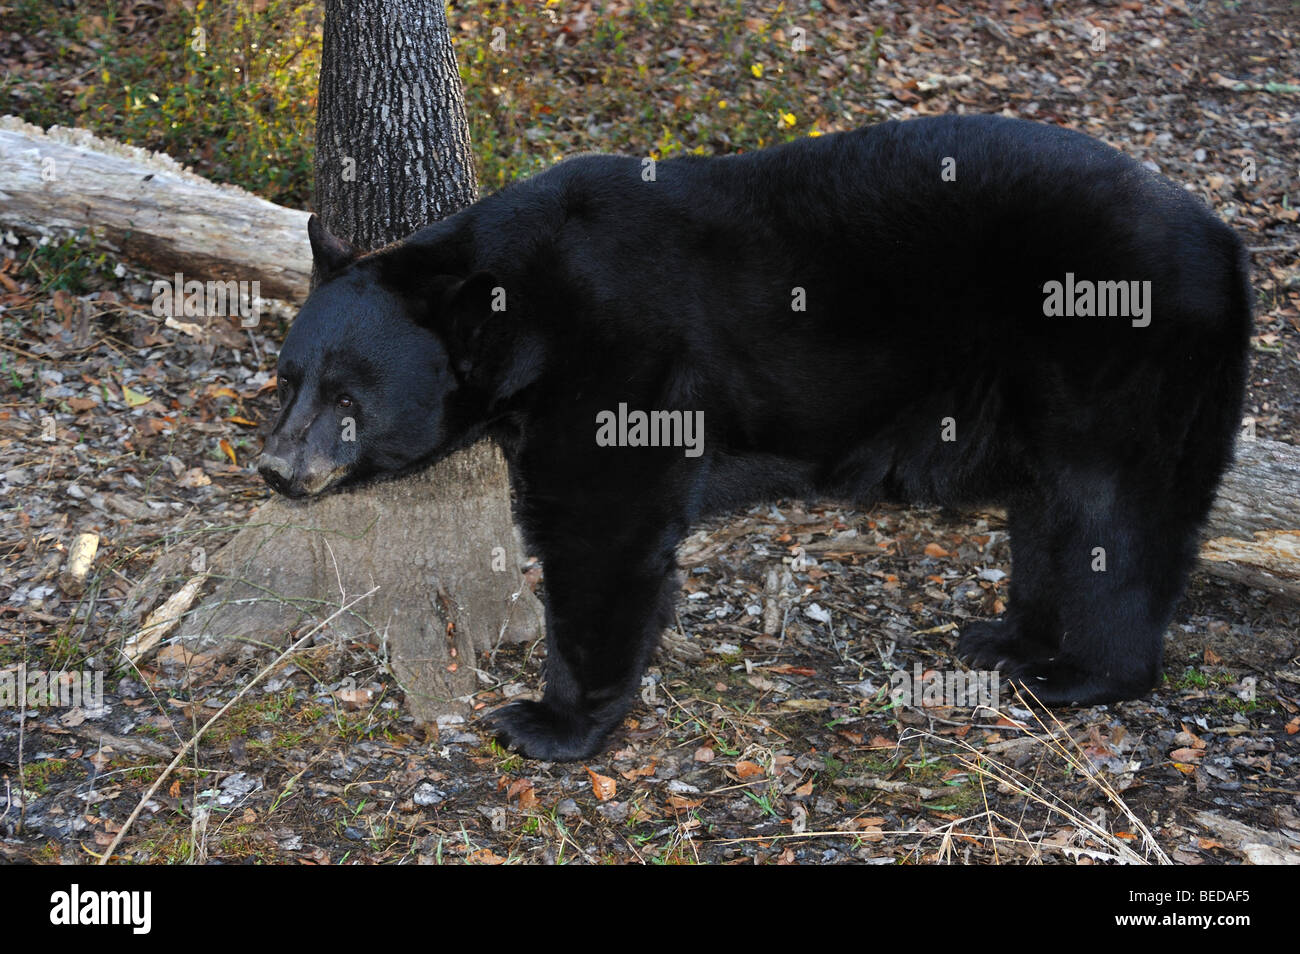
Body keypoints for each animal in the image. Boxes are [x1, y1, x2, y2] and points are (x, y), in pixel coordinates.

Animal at [259, 115, 1252, 761]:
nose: (276, 468)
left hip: (1114, 358)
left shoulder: (624, 364)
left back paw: (1080, 674)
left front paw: (550, 722)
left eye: (349, 399)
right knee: (1052, 517)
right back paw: (1009, 639)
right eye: (286, 378)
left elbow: (604, 533)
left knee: (1110, 517)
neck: (531, 309)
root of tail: (1228, 244)